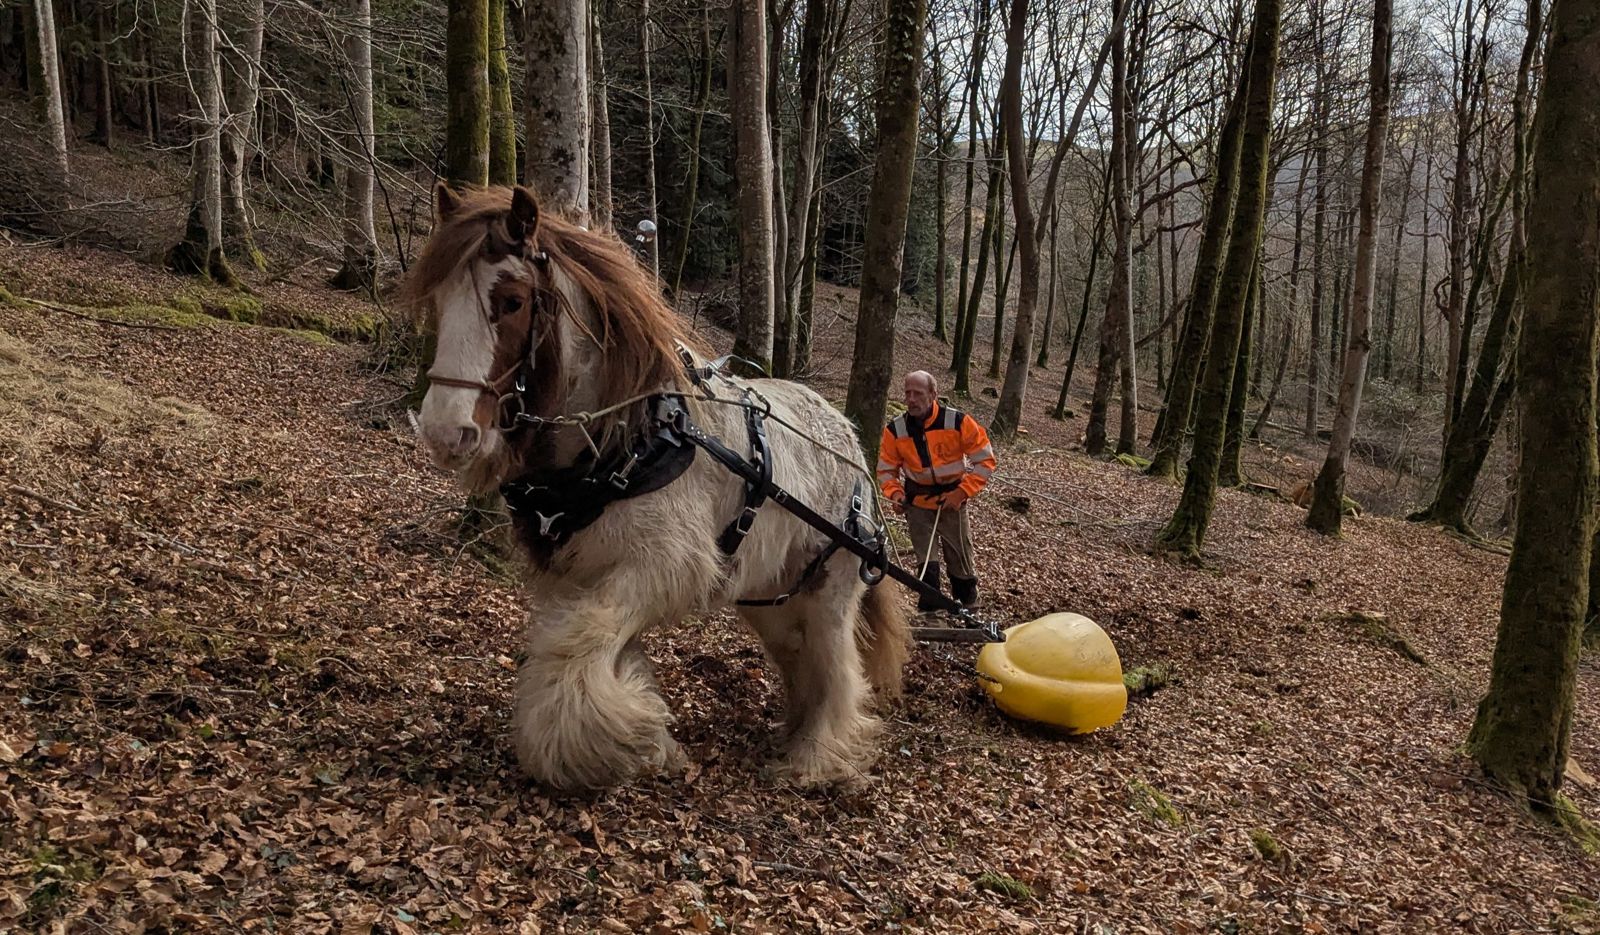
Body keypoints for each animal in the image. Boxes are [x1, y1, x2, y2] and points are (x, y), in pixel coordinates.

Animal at [407, 183, 910, 790]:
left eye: (512, 301)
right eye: (440, 299)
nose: (444, 430)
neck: (628, 437)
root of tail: (851, 441)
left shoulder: (660, 567)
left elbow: (576, 643)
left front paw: (604, 741)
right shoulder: (573, 575)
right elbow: (595, 642)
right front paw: (646, 737)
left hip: (831, 586)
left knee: (837, 665)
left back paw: (817, 755)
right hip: (770, 594)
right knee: (800, 654)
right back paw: (795, 731)